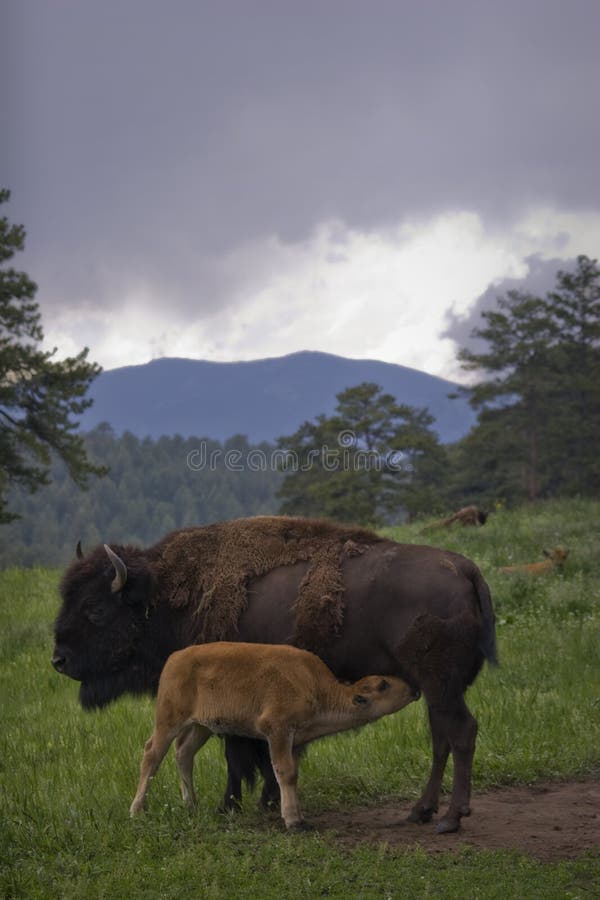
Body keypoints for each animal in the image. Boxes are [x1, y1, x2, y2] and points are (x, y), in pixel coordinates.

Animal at [129, 641, 418, 831]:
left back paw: (191, 804)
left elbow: (292, 773)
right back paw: (137, 810)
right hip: (169, 720)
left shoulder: (293, 740)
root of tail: (175, 658)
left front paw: (297, 815)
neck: (317, 687)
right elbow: (285, 772)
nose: (414, 688)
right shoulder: (277, 729)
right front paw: (294, 821)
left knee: (184, 752)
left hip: (203, 726)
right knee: (152, 754)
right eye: (383, 685)